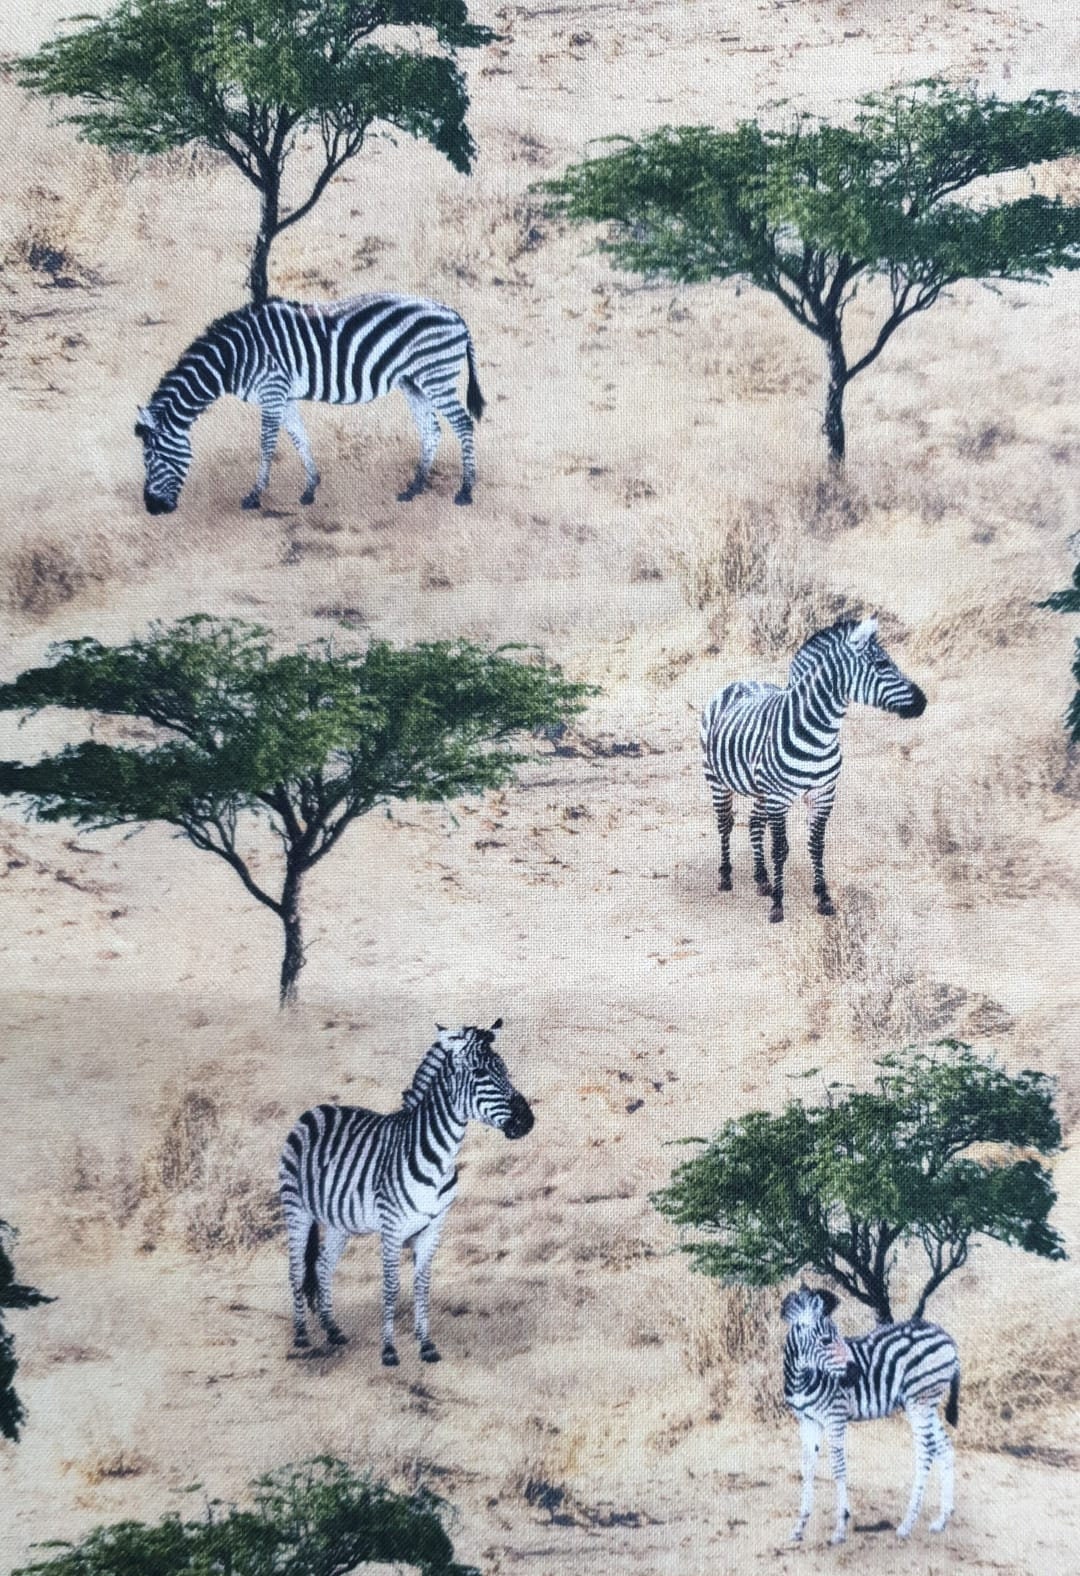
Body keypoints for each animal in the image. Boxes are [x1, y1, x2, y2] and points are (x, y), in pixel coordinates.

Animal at [135, 293, 485, 515]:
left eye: (151, 457)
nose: (152, 509)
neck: (232, 359)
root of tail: (453, 313)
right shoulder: (284, 395)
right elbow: (299, 438)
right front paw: (310, 489)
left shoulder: (272, 391)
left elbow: (267, 444)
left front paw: (254, 495)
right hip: (413, 381)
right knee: (431, 430)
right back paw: (415, 487)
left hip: (435, 375)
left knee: (463, 423)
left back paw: (466, 491)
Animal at [278, 1020, 533, 1367]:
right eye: (480, 1072)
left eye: (504, 1070)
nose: (527, 1121)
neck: (439, 1158)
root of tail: (315, 1109)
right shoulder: (392, 1227)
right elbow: (390, 1287)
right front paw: (389, 1351)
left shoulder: (433, 1228)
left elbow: (422, 1286)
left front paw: (426, 1345)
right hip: (297, 1210)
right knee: (296, 1271)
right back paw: (302, 1336)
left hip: (339, 1223)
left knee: (321, 1266)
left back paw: (332, 1330)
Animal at [700, 616, 926, 922]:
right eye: (881, 664)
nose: (923, 702)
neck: (820, 734)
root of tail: (740, 681)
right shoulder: (779, 799)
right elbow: (780, 849)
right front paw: (778, 905)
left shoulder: (823, 794)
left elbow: (817, 846)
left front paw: (823, 897)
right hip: (718, 781)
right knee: (725, 823)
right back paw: (726, 877)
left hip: (760, 790)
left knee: (755, 822)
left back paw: (762, 878)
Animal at [781, 1286, 959, 1546]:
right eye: (825, 1340)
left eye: (838, 1335)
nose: (855, 1374)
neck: (802, 1378)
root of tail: (948, 1337)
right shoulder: (808, 1421)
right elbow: (807, 1468)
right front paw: (799, 1527)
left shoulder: (835, 1416)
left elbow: (838, 1467)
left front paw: (840, 1527)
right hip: (928, 1405)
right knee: (944, 1448)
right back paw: (942, 1519)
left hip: (919, 1402)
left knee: (926, 1452)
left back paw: (907, 1524)